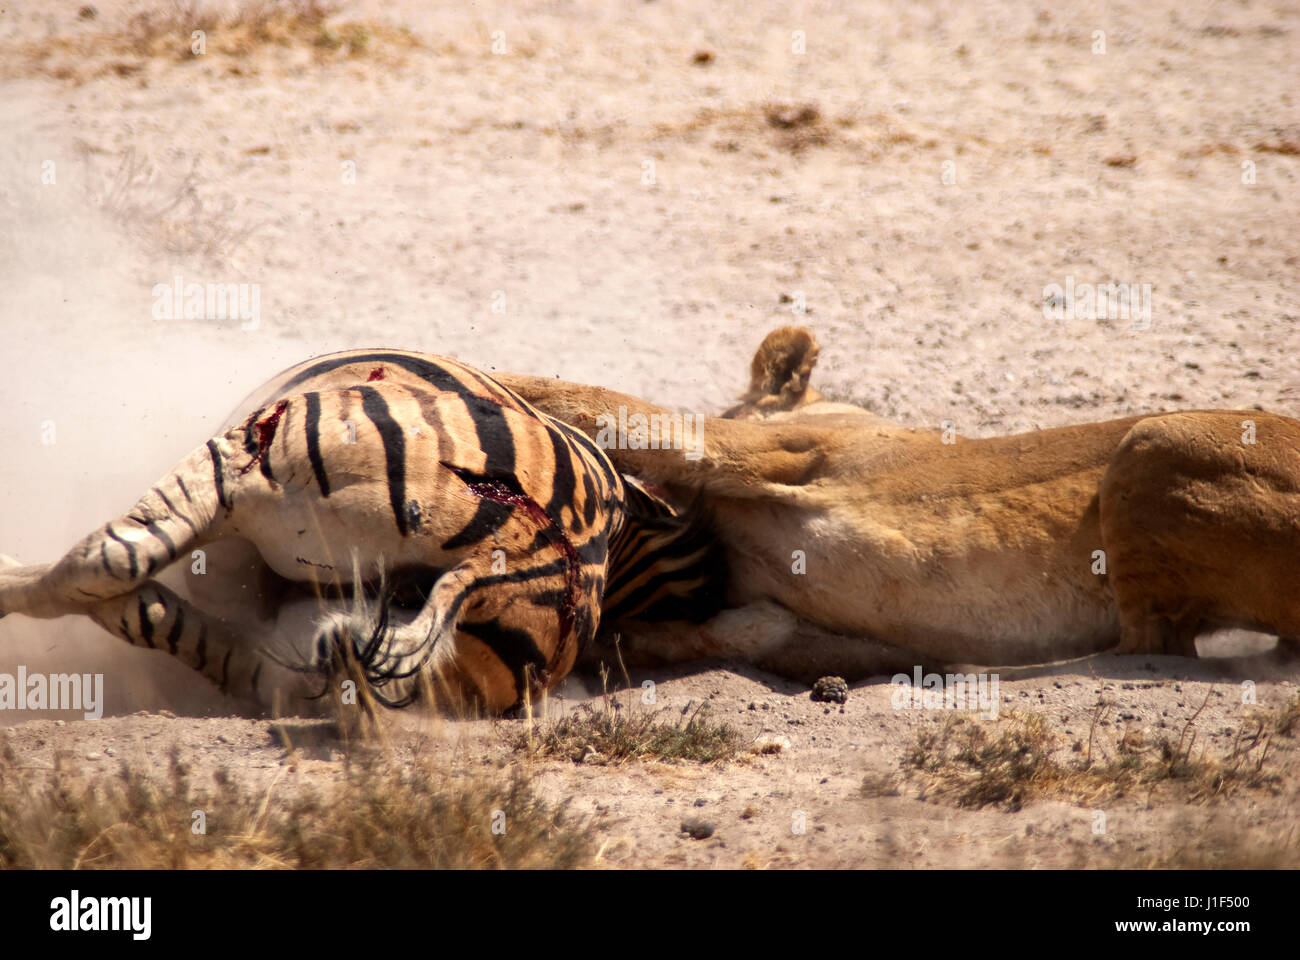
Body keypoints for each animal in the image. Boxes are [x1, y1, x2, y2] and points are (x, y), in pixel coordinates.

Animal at [493, 327, 1300, 683]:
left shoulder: (779, 451)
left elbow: (600, 402)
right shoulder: (807, 632)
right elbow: (716, 636)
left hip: (1155, 439)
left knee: (1149, 645)